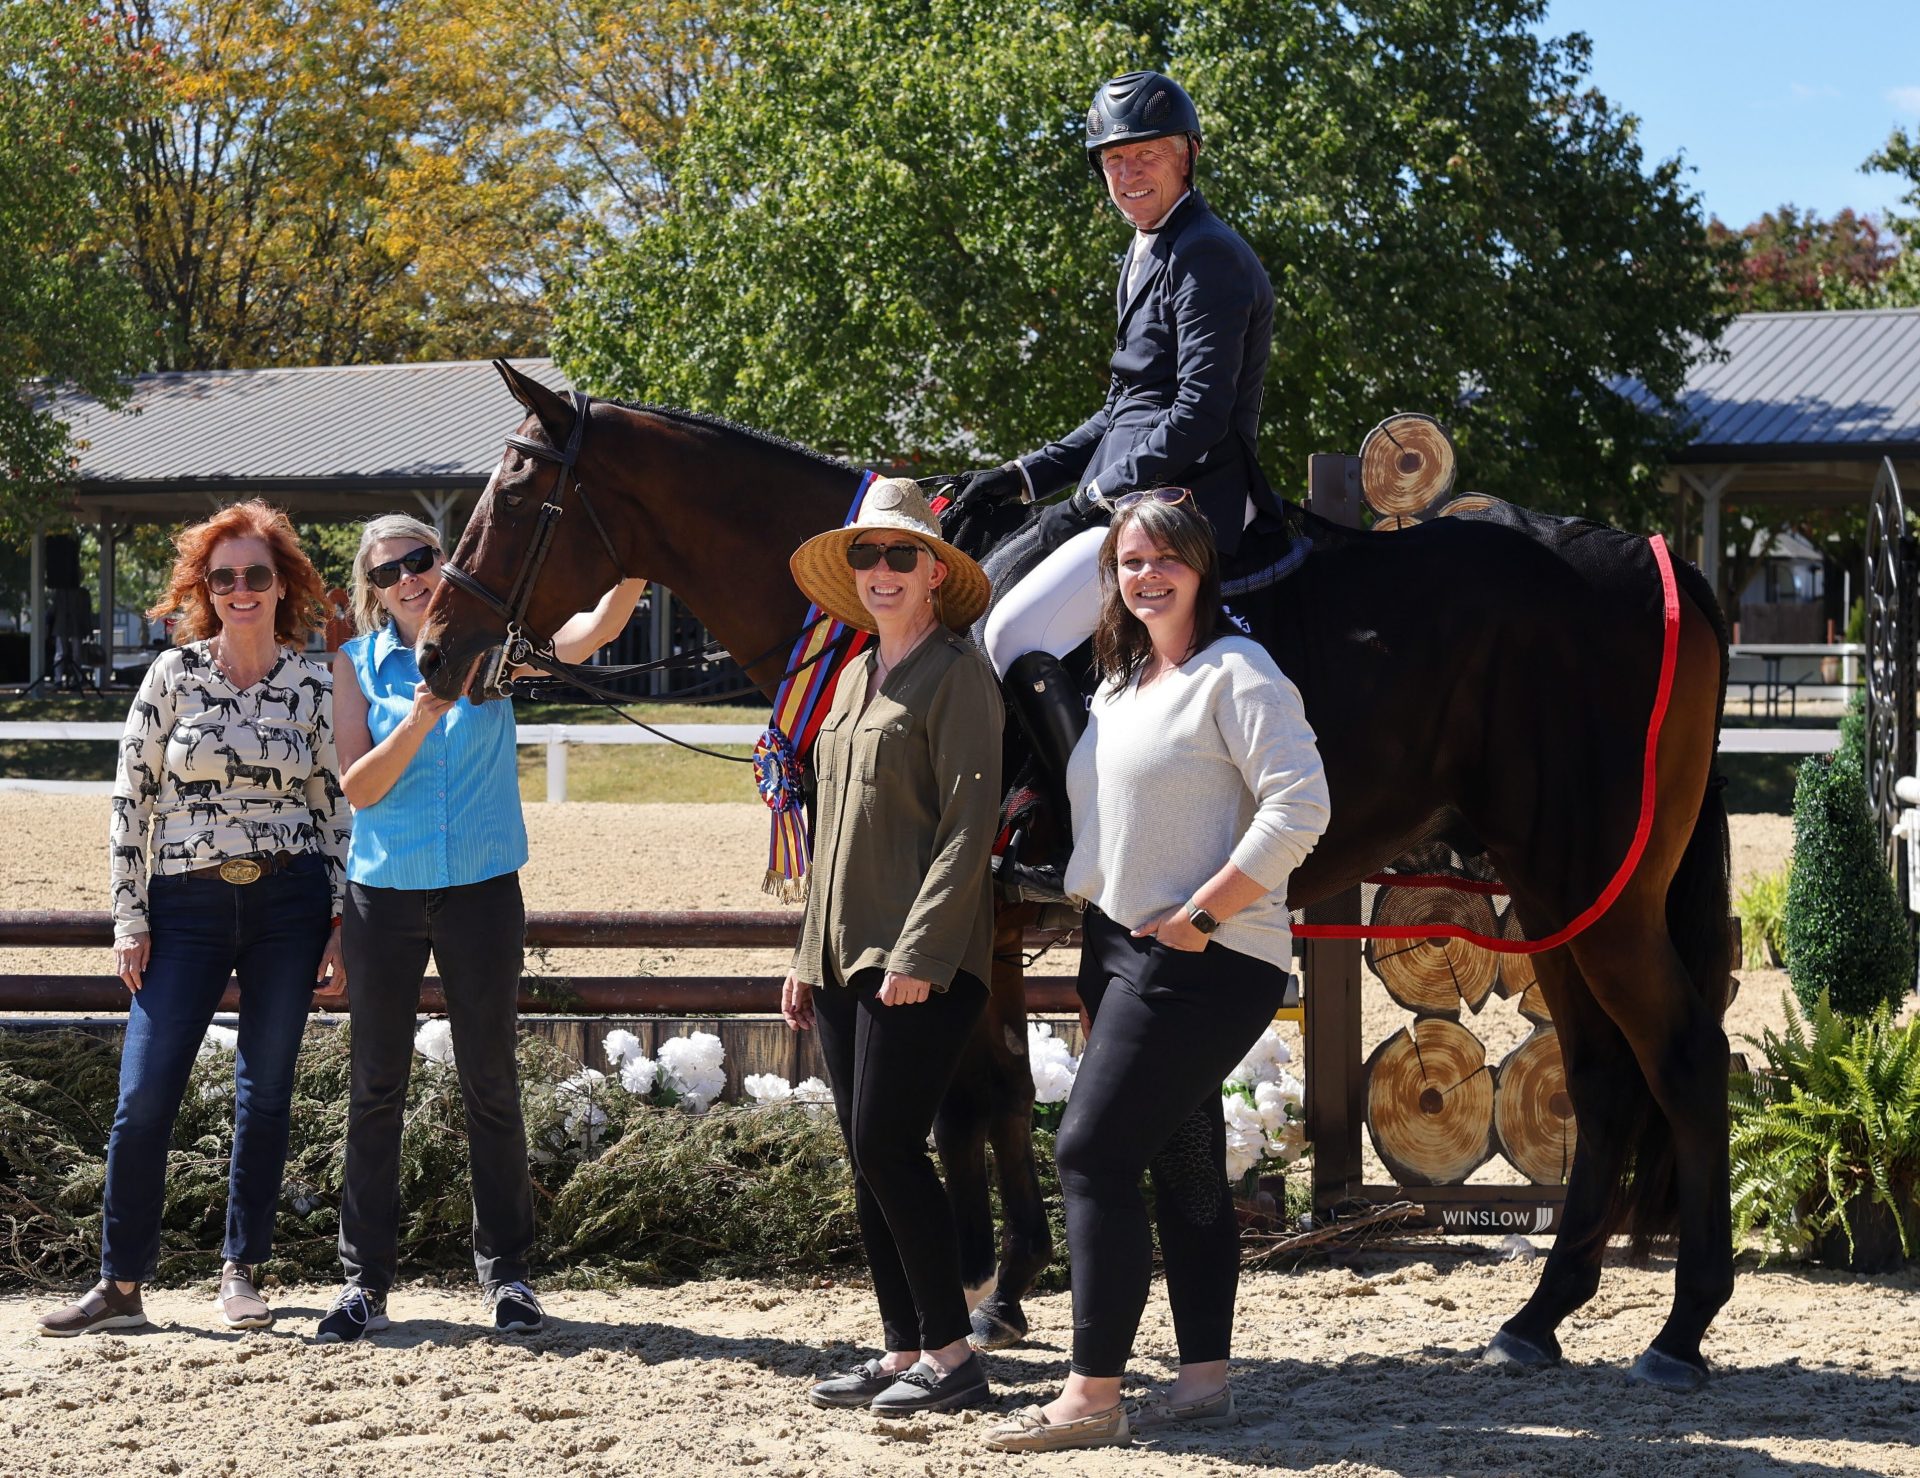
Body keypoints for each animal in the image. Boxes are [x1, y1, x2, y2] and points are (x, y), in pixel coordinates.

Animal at [417, 362, 1736, 1389]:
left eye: (518, 491)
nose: (435, 650)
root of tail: (1647, 561)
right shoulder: (989, 925)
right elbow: (998, 1091)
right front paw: (1005, 1287)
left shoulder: (951, 909)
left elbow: (958, 1101)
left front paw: (970, 1290)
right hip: (1558, 893)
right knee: (1604, 1075)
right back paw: (1539, 1319)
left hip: (1588, 886)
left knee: (1677, 1053)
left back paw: (1679, 1330)